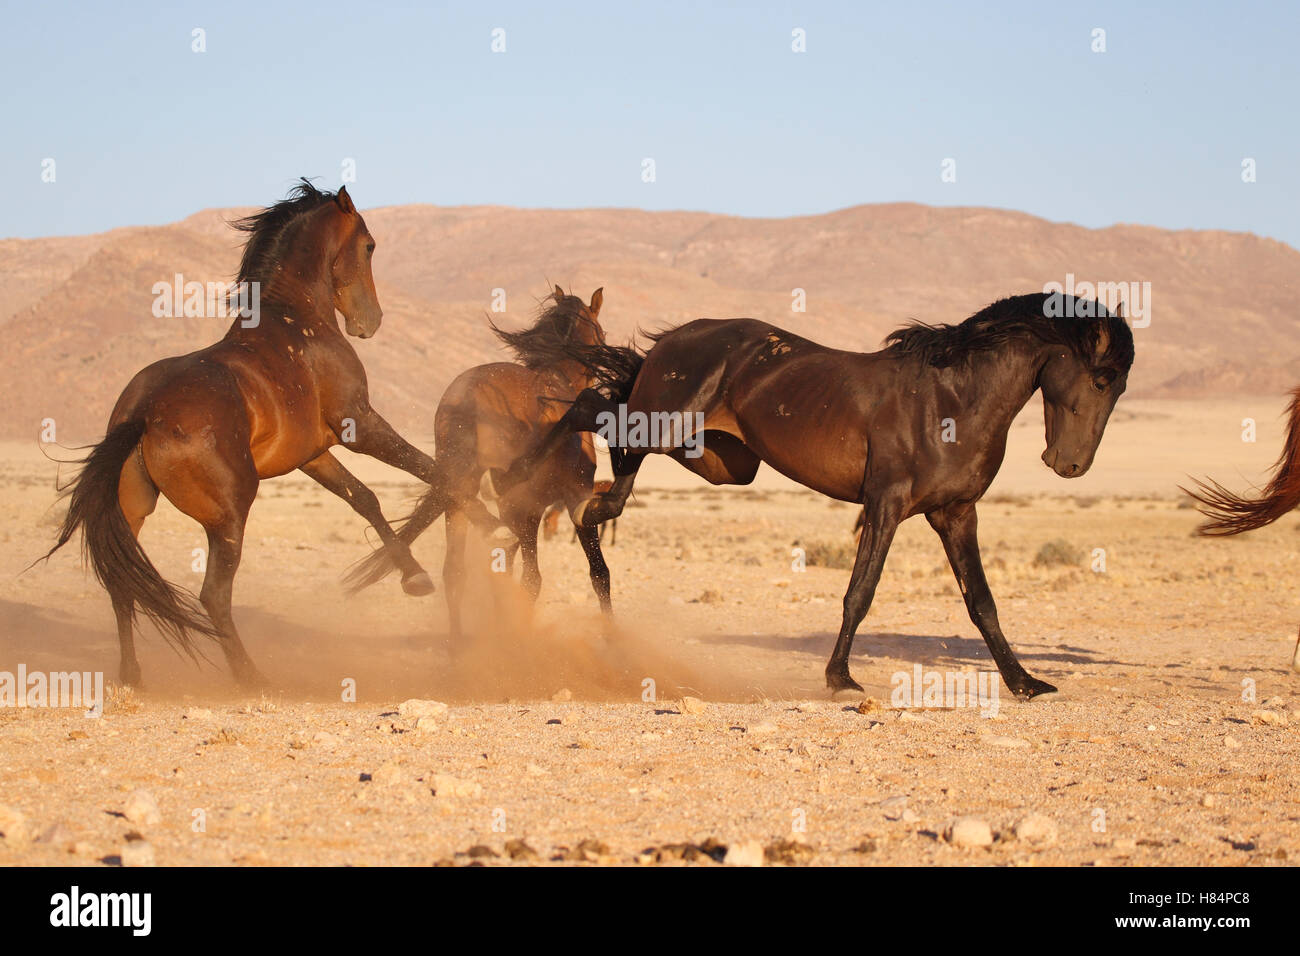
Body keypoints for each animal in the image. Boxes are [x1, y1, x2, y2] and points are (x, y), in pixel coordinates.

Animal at [40, 180, 481, 687]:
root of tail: (145, 411)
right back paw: (250, 676)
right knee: (212, 595)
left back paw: (132, 675)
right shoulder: (359, 425)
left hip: (133, 509)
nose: (370, 322)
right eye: (369, 245)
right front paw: (486, 520)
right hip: (230, 514)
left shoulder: (313, 455)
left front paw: (414, 576)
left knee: (121, 582)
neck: (297, 318)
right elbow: (437, 473)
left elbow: (365, 498)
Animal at [344, 288, 614, 640]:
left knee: (455, 571)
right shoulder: (570, 497)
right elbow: (594, 575)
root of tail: (467, 398)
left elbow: (516, 575)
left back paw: (460, 646)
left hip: (460, 498)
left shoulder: (525, 513)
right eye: (601, 333)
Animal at [492, 292, 1135, 699]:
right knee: (589, 414)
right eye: (1101, 378)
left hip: (722, 462)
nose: (1070, 465)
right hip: (661, 427)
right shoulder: (886, 506)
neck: (953, 400)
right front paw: (840, 678)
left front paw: (1025, 683)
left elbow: (982, 602)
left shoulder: (955, 515)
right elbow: (860, 592)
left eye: (1120, 386)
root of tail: (676, 337)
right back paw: (517, 476)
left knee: (604, 490)